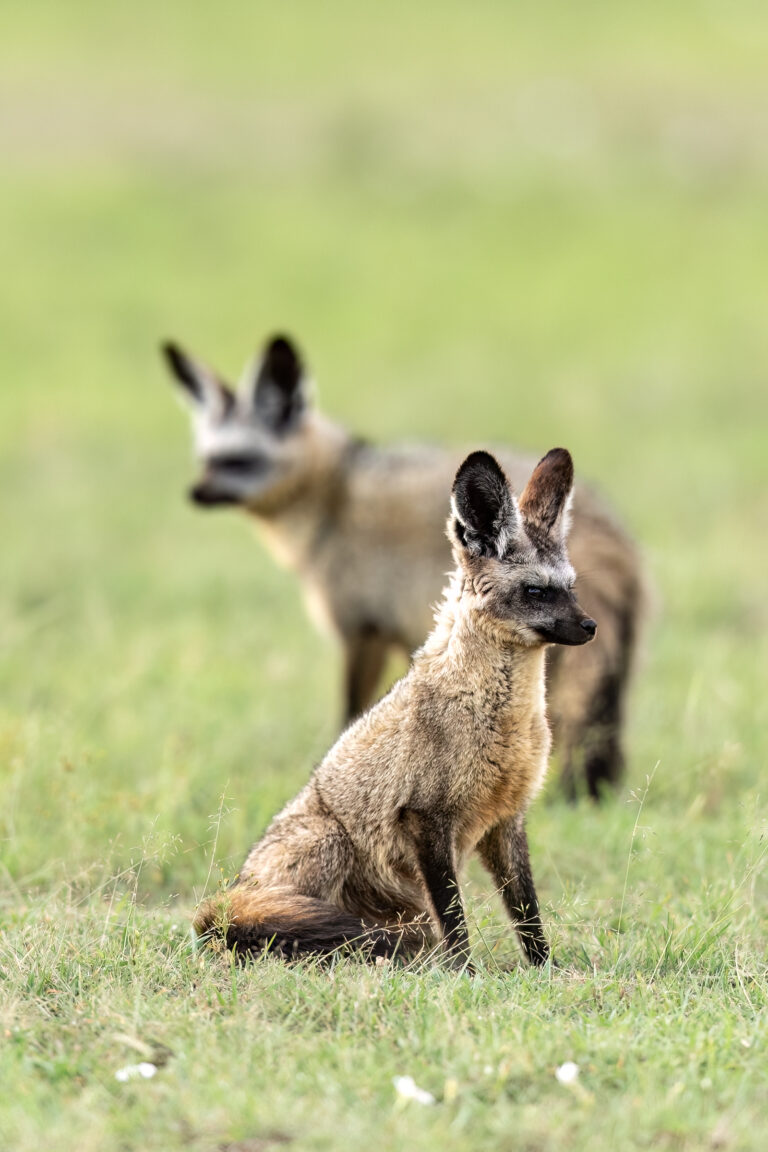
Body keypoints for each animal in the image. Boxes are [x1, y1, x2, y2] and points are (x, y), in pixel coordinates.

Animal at [162, 334, 643, 800]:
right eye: (207, 458)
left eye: (238, 460)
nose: (195, 493)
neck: (335, 495)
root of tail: (617, 535)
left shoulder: (363, 630)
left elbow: (353, 712)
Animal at [194, 446, 595, 967]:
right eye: (536, 591)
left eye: (570, 587)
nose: (590, 627)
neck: (507, 720)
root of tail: (229, 895)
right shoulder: (424, 817)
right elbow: (455, 917)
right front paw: (466, 973)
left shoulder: (507, 818)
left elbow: (527, 913)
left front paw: (546, 969)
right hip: (327, 842)